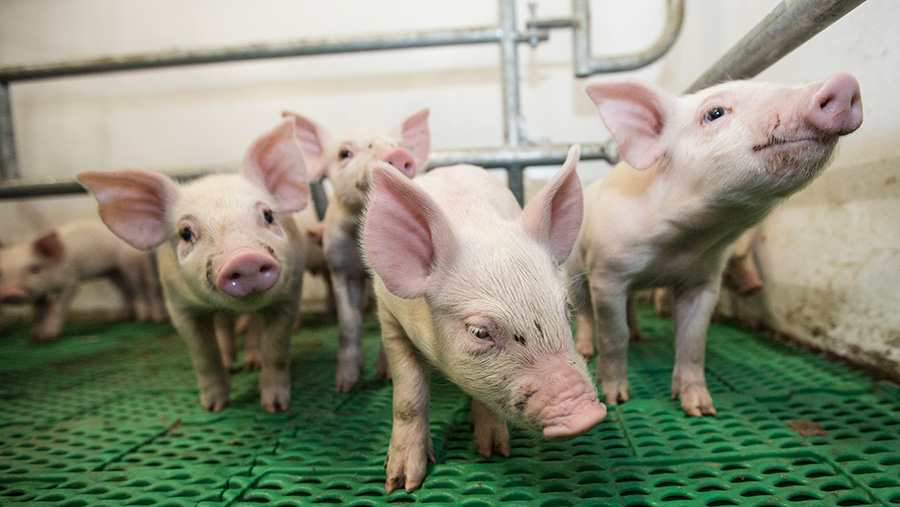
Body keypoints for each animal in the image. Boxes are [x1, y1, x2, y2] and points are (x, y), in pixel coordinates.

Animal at [0, 220, 166, 341]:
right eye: (1, 272)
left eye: (34, 268)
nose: (10, 293)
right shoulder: (39, 291)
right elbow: (39, 310)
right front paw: (35, 336)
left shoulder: (71, 280)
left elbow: (57, 306)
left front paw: (48, 337)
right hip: (113, 272)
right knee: (125, 290)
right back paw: (121, 318)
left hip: (129, 266)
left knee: (138, 290)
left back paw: (142, 319)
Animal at [77, 118, 308, 413]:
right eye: (186, 233)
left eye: (268, 215)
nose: (245, 257)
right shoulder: (178, 307)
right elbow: (204, 355)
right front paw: (213, 407)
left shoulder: (290, 294)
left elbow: (276, 349)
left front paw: (275, 407)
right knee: (223, 325)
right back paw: (230, 363)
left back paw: (250, 364)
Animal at [281, 109, 430, 392]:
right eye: (345, 153)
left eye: (398, 146)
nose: (398, 155)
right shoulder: (339, 266)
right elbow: (348, 323)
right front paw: (343, 386)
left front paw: (385, 376)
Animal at [363, 146, 607, 493]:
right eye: (479, 332)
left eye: (565, 310)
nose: (586, 415)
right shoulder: (390, 318)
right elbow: (409, 397)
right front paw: (401, 484)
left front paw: (493, 451)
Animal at [570, 72, 863, 417]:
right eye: (714, 113)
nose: (843, 82)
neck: (683, 245)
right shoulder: (608, 273)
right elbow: (614, 335)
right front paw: (616, 398)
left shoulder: (704, 278)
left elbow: (693, 342)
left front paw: (701, 410)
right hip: (576, 271)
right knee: (586, 313)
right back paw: (586, 350)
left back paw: (641, 338)